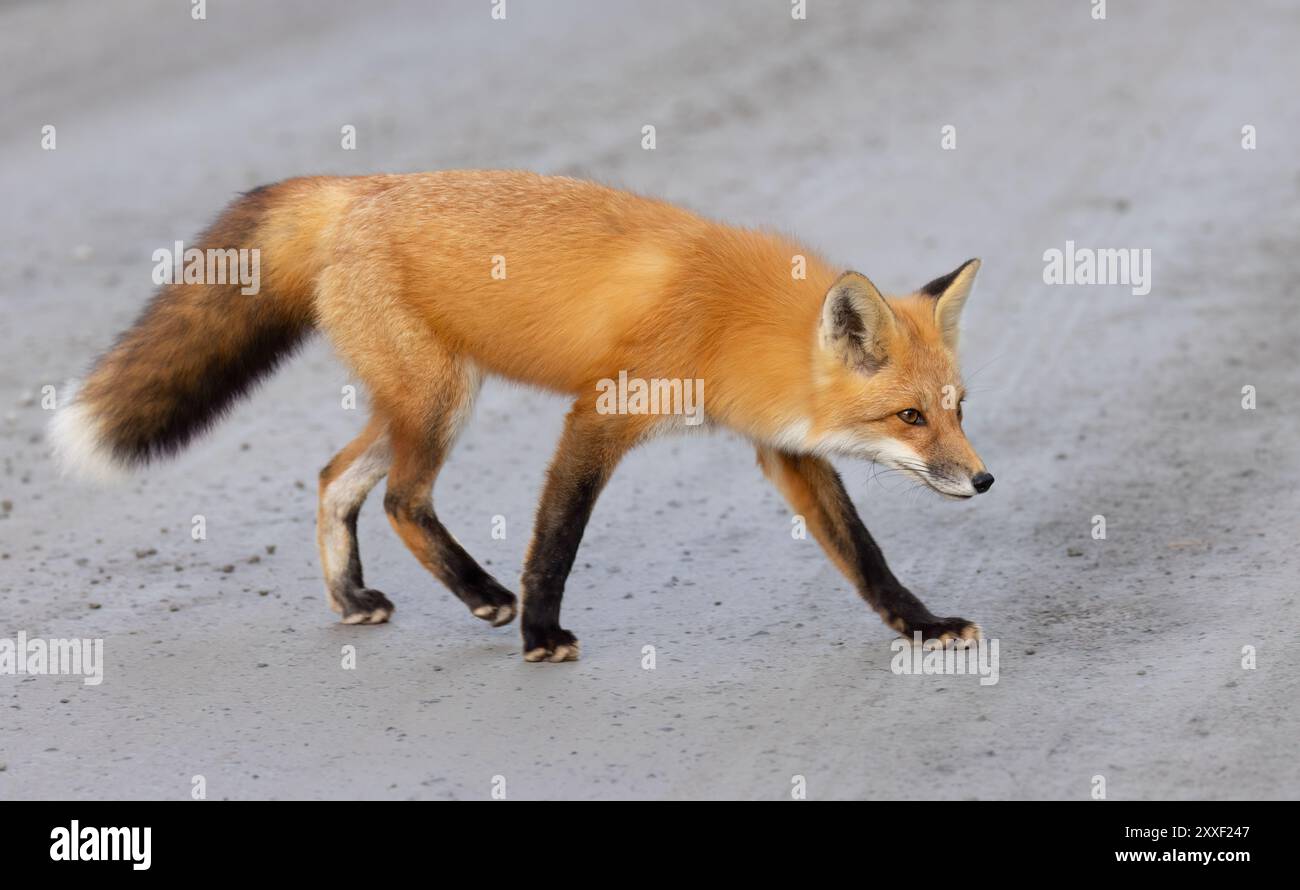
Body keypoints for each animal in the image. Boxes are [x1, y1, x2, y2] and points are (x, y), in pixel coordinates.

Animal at [50, 170, 994, 663]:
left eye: (957, 408)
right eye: (909, 416)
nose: (984, 480)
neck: (733, 321)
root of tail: (356, 188)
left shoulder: (783, 450)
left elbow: (864, 554)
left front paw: (921, 624)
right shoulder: (598, 414)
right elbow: (557, 541)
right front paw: (542, 631)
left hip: (416, 401)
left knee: (333, 479)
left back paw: (352, 598)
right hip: (441, 401)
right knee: (400, 500)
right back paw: (484, 597)